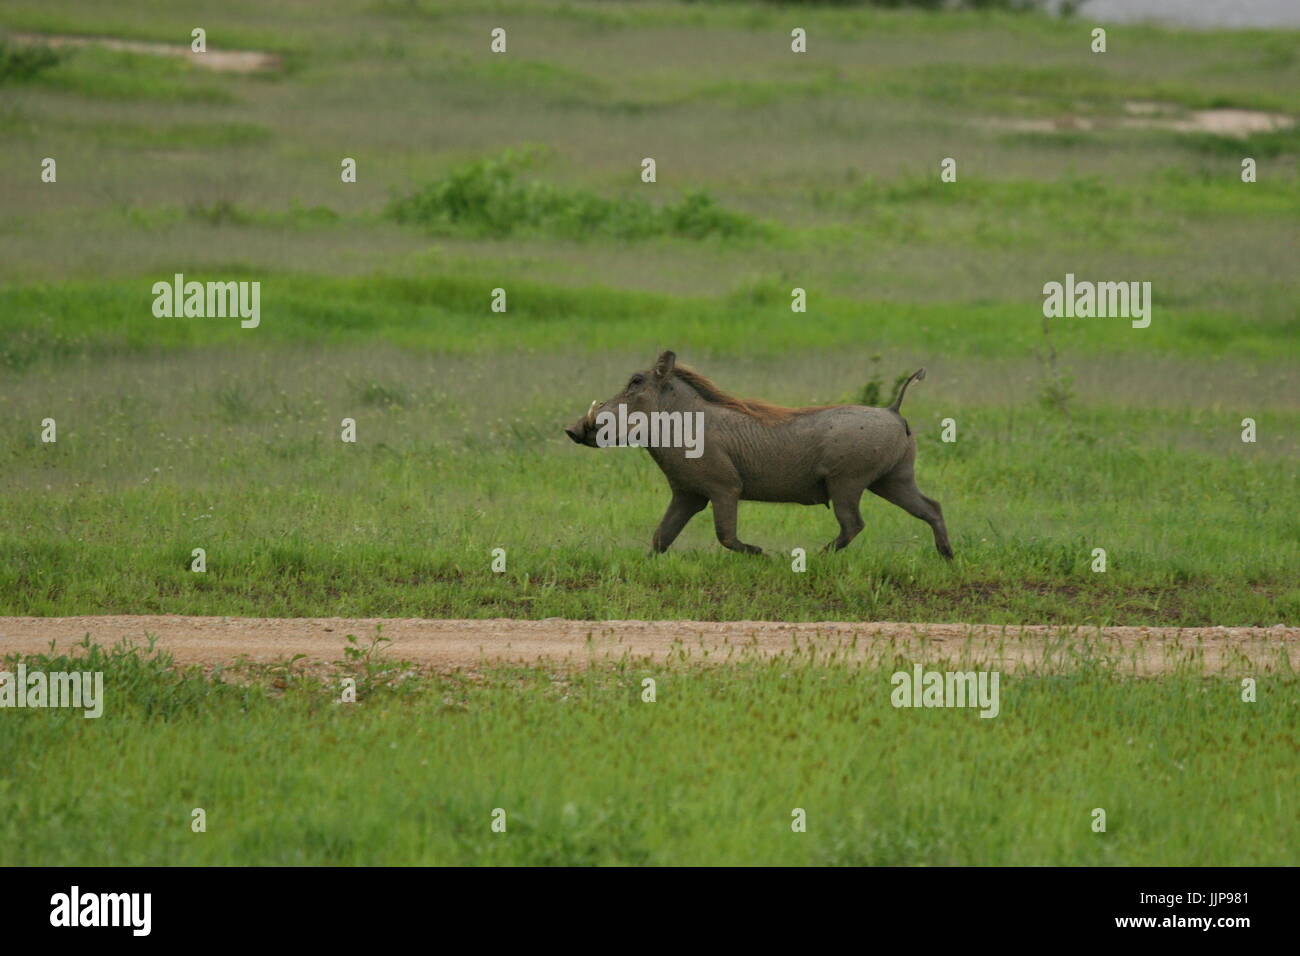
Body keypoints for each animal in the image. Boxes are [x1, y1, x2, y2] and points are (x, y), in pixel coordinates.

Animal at [565, 351, 953, 558]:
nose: (572, 430)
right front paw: (644, 566)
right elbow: (661, 538)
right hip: (893, 480)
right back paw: (947, 558)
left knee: (853, 524)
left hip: (848, 483)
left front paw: (762, 554)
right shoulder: (687, 494)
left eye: (635, 382)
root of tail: (893, 410)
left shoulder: (724, 488)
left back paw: (817, 558)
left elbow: (726, 536)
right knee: (931, 508)